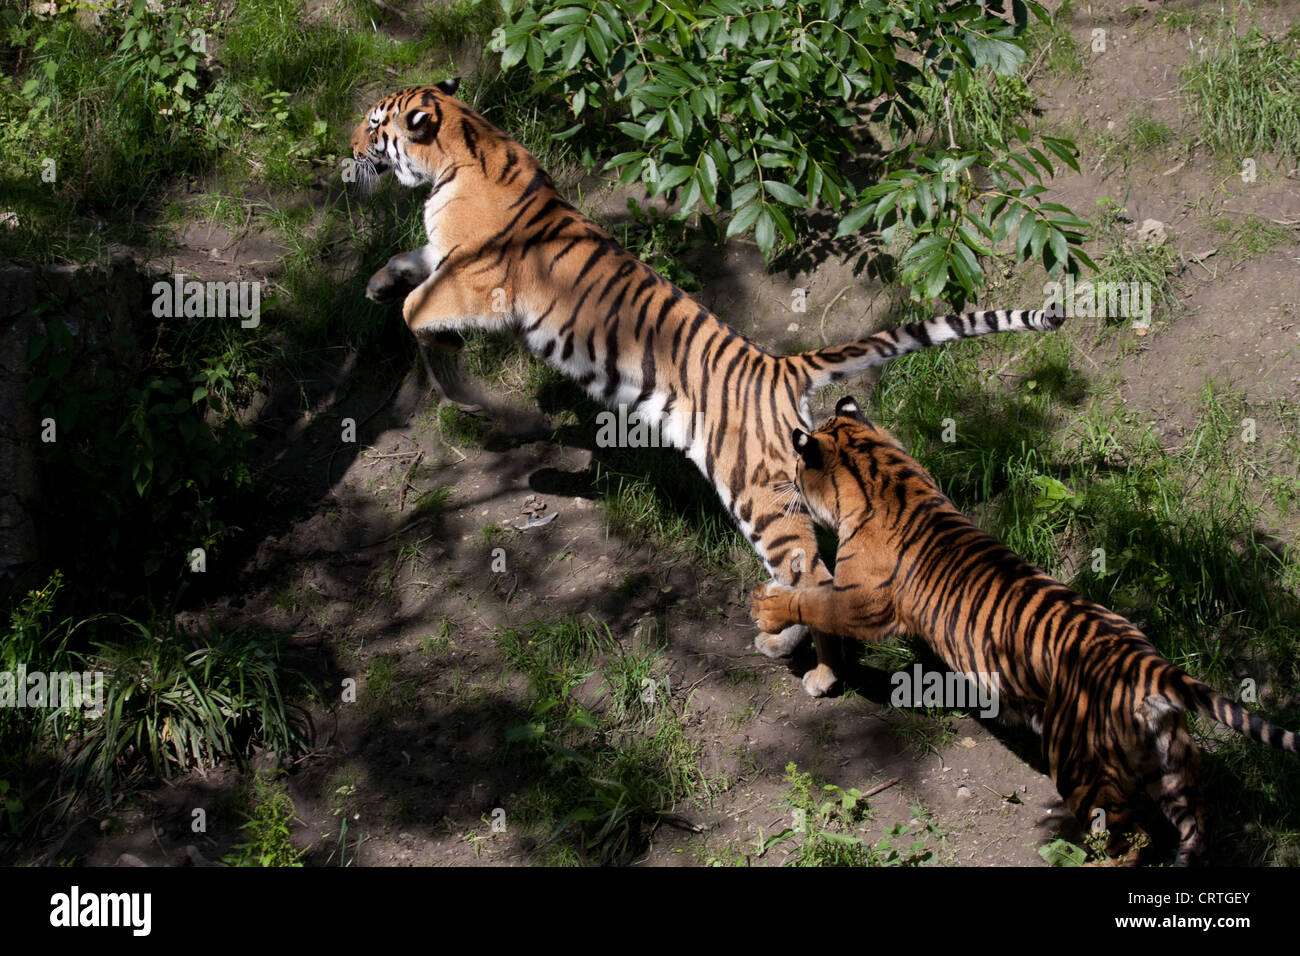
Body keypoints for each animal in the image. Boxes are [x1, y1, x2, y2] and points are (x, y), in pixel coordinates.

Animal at [351, 81, 1065, 696]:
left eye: (374, 125)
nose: (347, 150)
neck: (464, 147)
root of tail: (782, 368)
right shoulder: (443, 257)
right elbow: (409, 266)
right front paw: (379, 283)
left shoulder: (480, 282)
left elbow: (418, 308)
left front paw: (452, 359)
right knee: (804, 573)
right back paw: (787, 646)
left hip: (755, 491)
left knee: (813, 572)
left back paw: (814, 670)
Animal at [750, 395, 1300, 864]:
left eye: (796, 468)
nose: (785, 486)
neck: (884, 471)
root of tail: (1148, 666)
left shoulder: (862, 603)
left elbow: (812, 602)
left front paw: (769, 613)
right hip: (1172, 764)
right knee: (1198, 820)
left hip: (1080, 766)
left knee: (1124, 841)